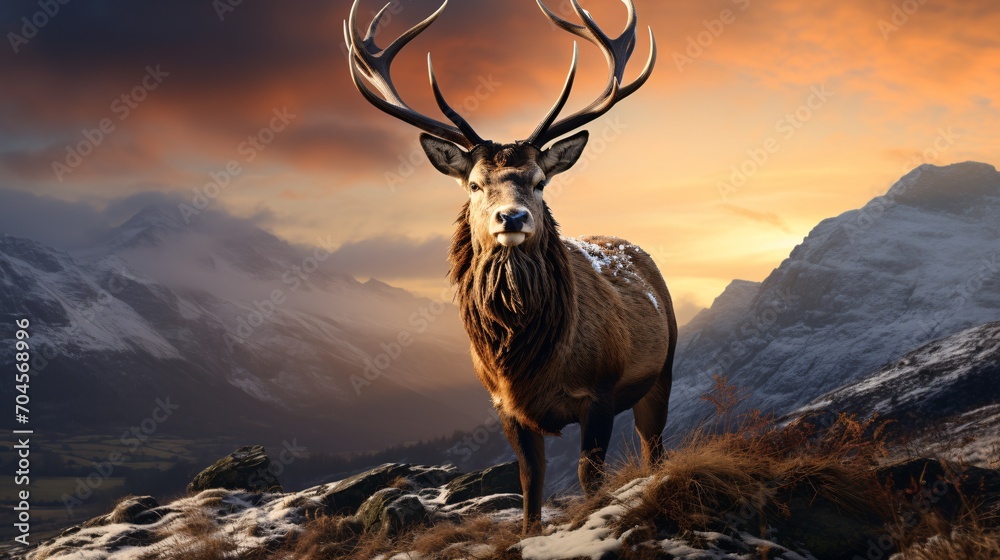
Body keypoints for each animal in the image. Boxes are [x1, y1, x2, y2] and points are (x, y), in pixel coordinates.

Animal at [345, 0, 676, 533]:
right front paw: (529, 532)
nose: (512, 217)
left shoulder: (601, 390)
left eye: (540, 181)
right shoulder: (504, 404)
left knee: (655, 446)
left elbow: (589, 476)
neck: (526, 359)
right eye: (475, 184)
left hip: (663, 369)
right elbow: (529, 481)